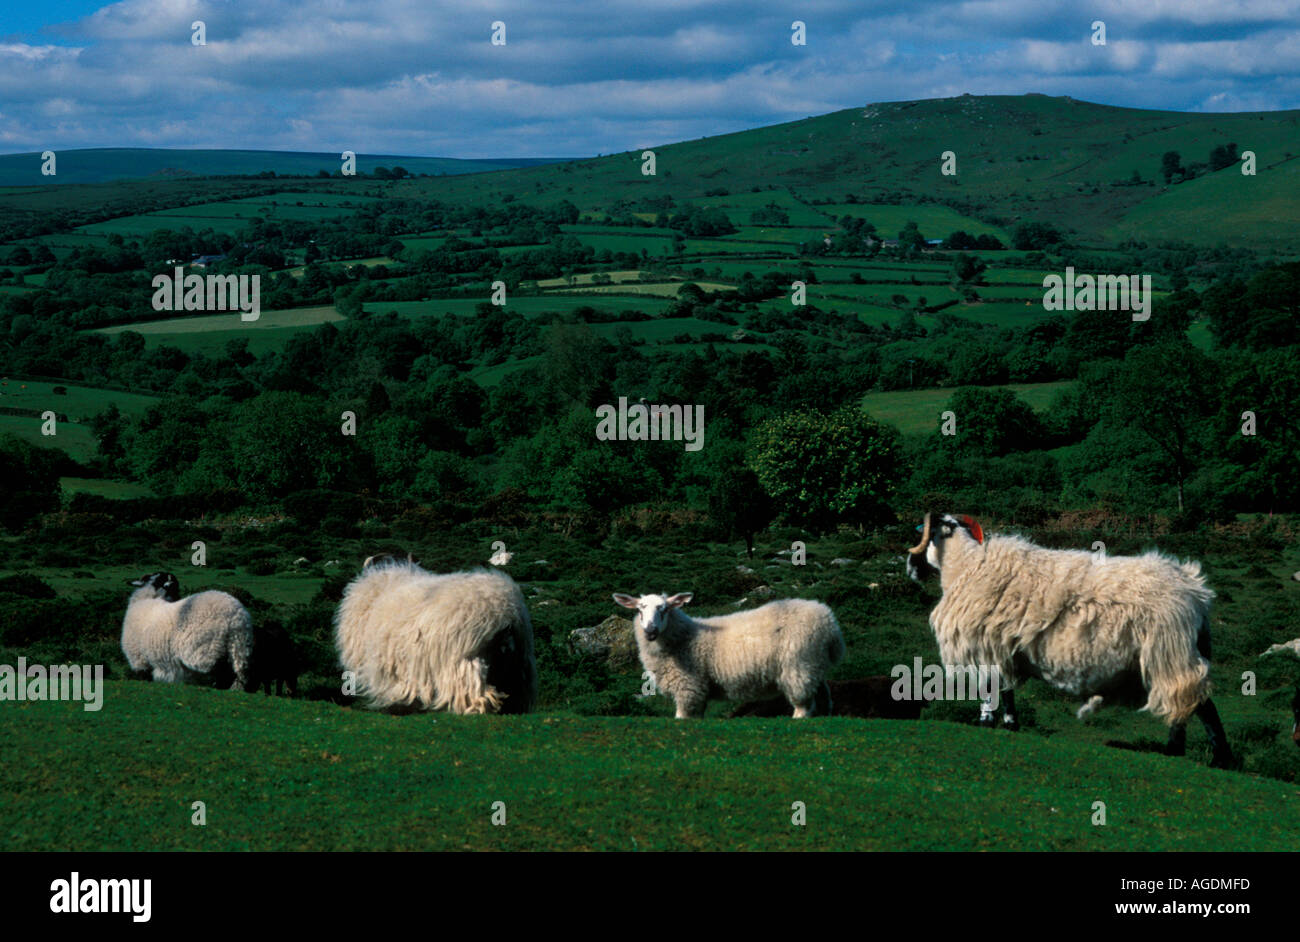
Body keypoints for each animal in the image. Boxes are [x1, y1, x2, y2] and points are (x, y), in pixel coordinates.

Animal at [121, 572, 253, 690]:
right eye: (159, 579)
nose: (171, 584)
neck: (148, 598)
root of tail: (234, 616)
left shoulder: (139, 659)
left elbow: (144, 676)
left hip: (205, 647)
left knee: (216, 670)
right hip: (240, 647)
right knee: (239, 671)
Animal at [612, 592, 845, 718]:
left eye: (665, 609)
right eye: (640, 609)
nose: (650, 631)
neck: (684, 637)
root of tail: (829, 621)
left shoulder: (688, 685)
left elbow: (681, 717)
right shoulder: (699, 690)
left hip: (798, 663)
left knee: (803, 703)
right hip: (814, 663)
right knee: (823, 694)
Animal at [905, 512, 1234, 767]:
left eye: (923, 533)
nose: (909, 568)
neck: (966, 565)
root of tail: (1196, 592)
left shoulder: (986, 642)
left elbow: (990, 689)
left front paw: (986, 723)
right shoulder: (1002, 647)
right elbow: (1006, 690)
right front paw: (1011, 724)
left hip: (1170, 649)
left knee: (1195, 702)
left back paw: (1200, 754)